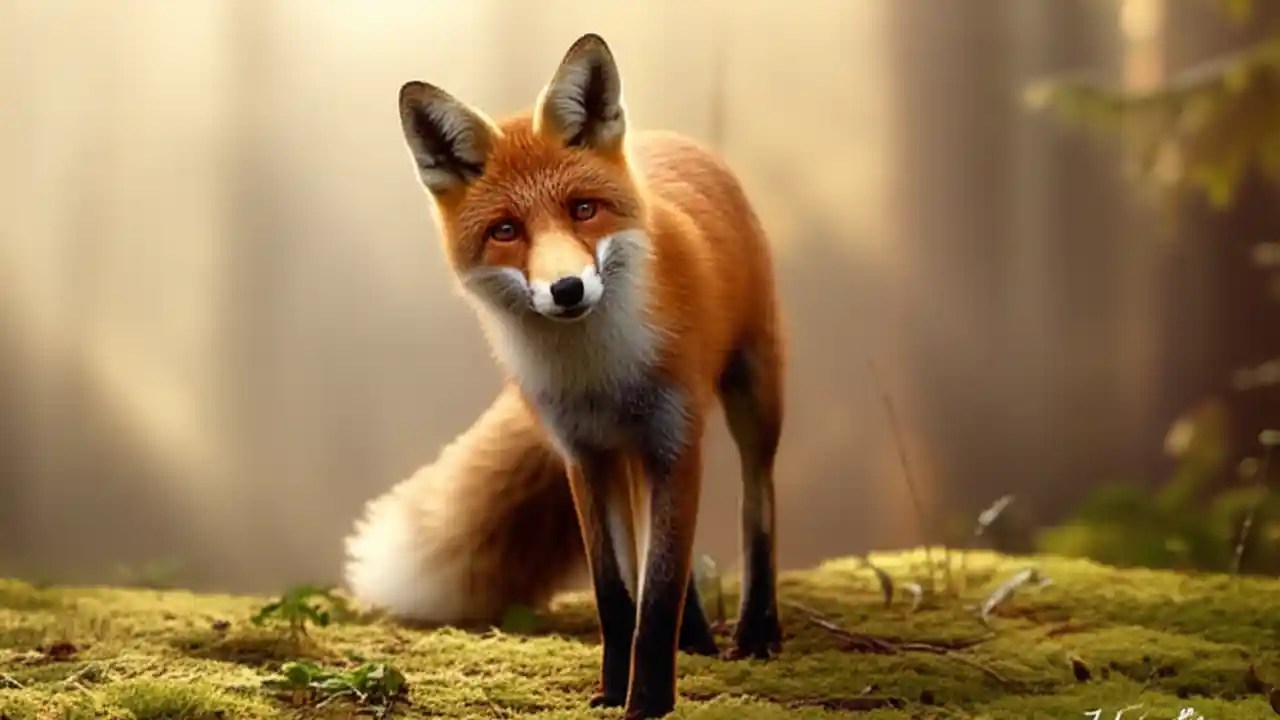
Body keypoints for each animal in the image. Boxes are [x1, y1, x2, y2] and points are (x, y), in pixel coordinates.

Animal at [343, 33, 785, 718]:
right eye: (506, 231)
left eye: (583, 210)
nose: (568, 289)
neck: (600, 376)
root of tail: (672, 139)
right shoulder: (585, 455)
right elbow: (618, 594)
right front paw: (613, 690)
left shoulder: (675, 443)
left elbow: (657, 596)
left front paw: (647, 703)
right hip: (630, 460)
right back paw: (696, 640)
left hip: (755, 395)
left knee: (757, 503)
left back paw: (757, 630)